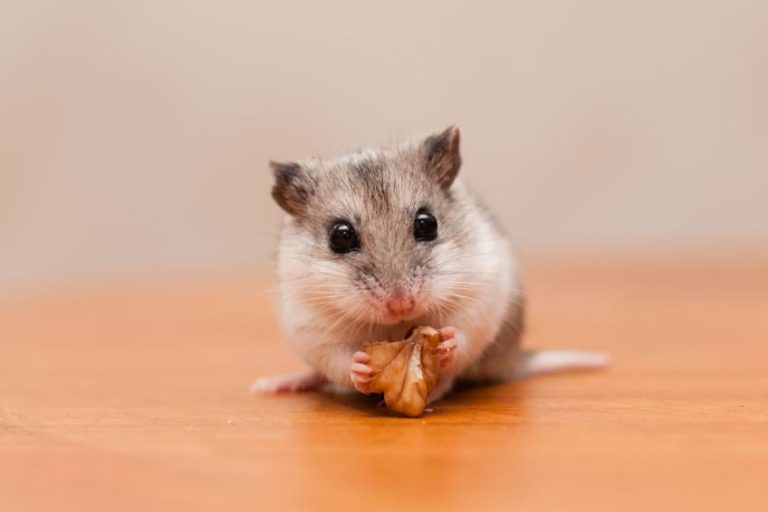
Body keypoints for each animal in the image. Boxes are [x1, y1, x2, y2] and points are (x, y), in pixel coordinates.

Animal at [253, 126, 608, 401]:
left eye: (427, 224)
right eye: (340, 236)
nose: (401, 304)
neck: (397, 325)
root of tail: (512, 360)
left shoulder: (480, 298)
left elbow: (462, 334)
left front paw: (447, 341)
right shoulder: (314, 329)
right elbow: (339, 360)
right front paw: (361, 366)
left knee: (452, 379)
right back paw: (276, 385)